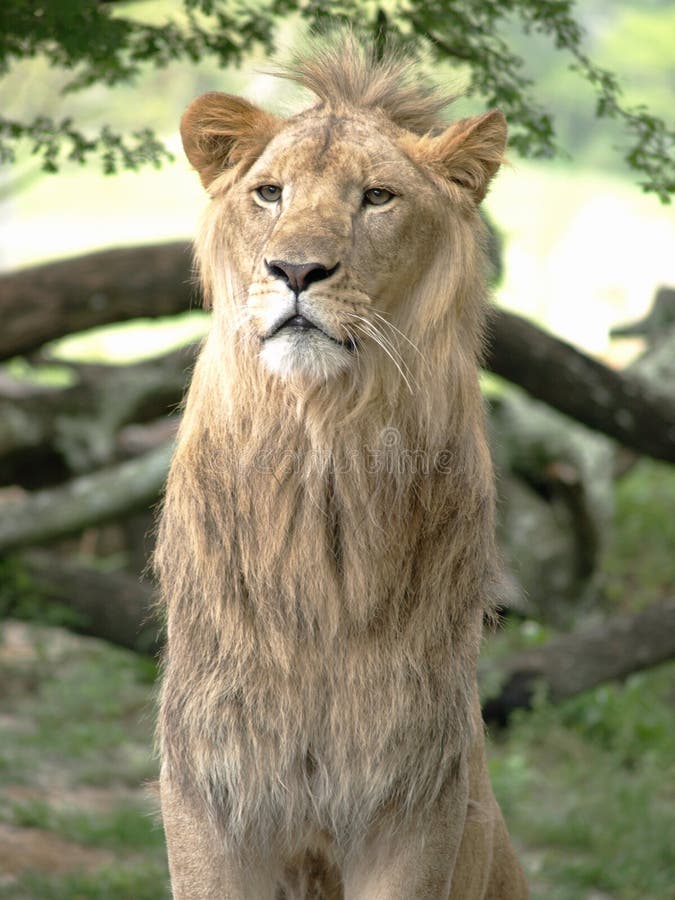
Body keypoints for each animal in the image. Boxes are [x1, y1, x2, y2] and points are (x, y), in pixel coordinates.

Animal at [155, 32, 528, 899]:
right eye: (269, 194)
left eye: (377, 198)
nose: (295, 271)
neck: (320, 460)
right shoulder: (210, 784)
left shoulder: (413, 790)